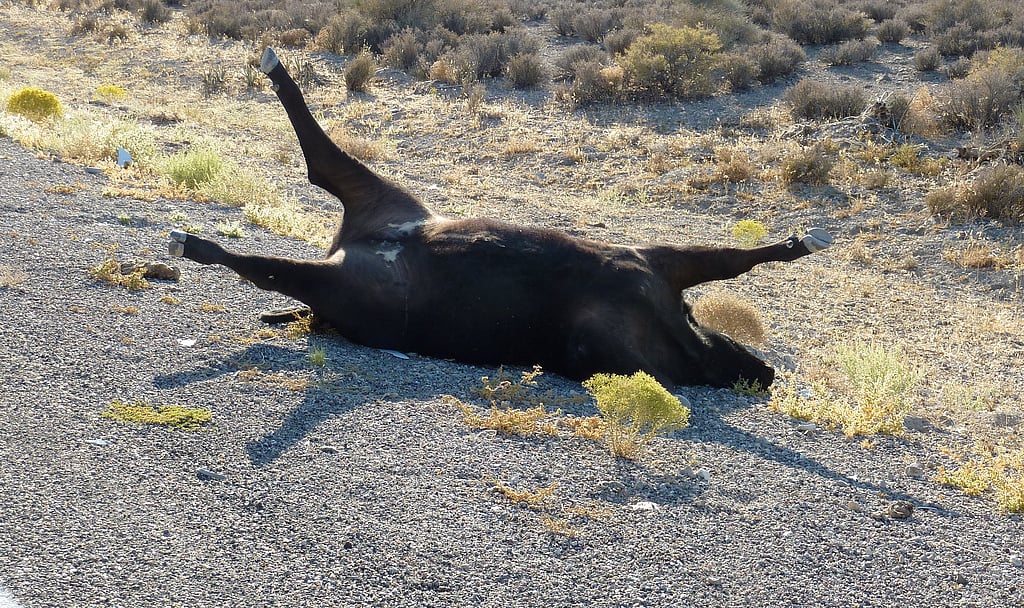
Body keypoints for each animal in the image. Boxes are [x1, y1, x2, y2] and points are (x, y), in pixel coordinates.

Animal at [168, 48, 833, 389]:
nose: (767, 373)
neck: (684, 333)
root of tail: (355, 243)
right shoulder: (659, 269)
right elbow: (736, 260)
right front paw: (795, 245)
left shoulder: (658, 272)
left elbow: (737, 260)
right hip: (360, 256)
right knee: (261, 252)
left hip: (362, 235)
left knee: (302, 194)